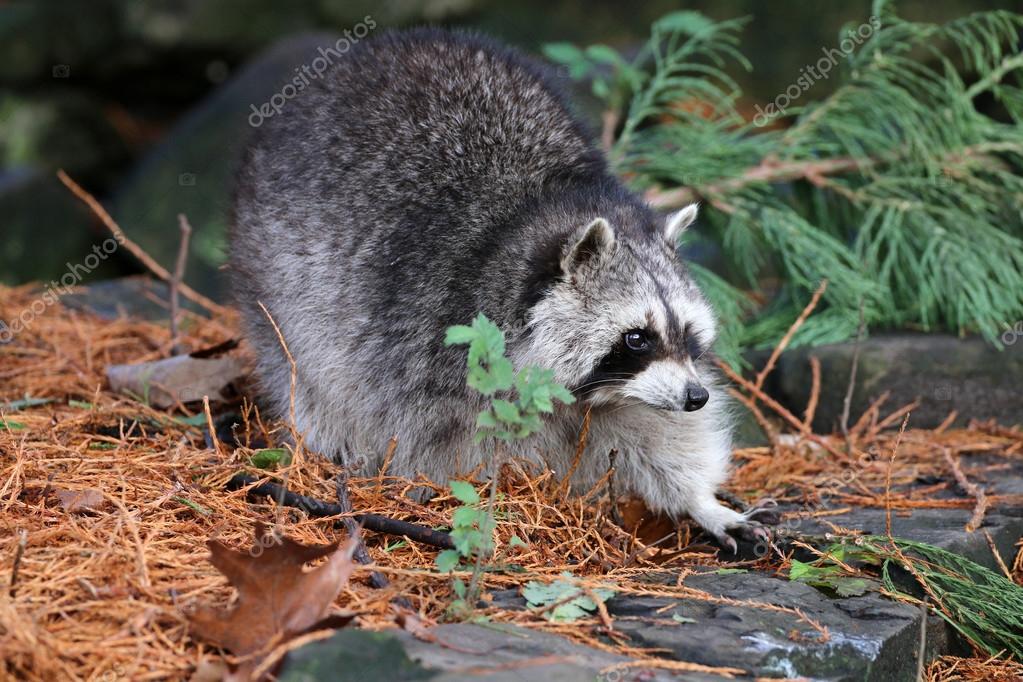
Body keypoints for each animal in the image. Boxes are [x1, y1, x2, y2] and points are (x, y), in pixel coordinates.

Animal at [230, 28, 772, 550]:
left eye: (688, 333)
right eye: (637, 337)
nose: (697, 396)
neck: (543, 210)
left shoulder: (631, 392)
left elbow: (660, 435)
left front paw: (700, 500)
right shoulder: (423, 339)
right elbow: (435, 444)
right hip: (274, 275)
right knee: (308, 370)